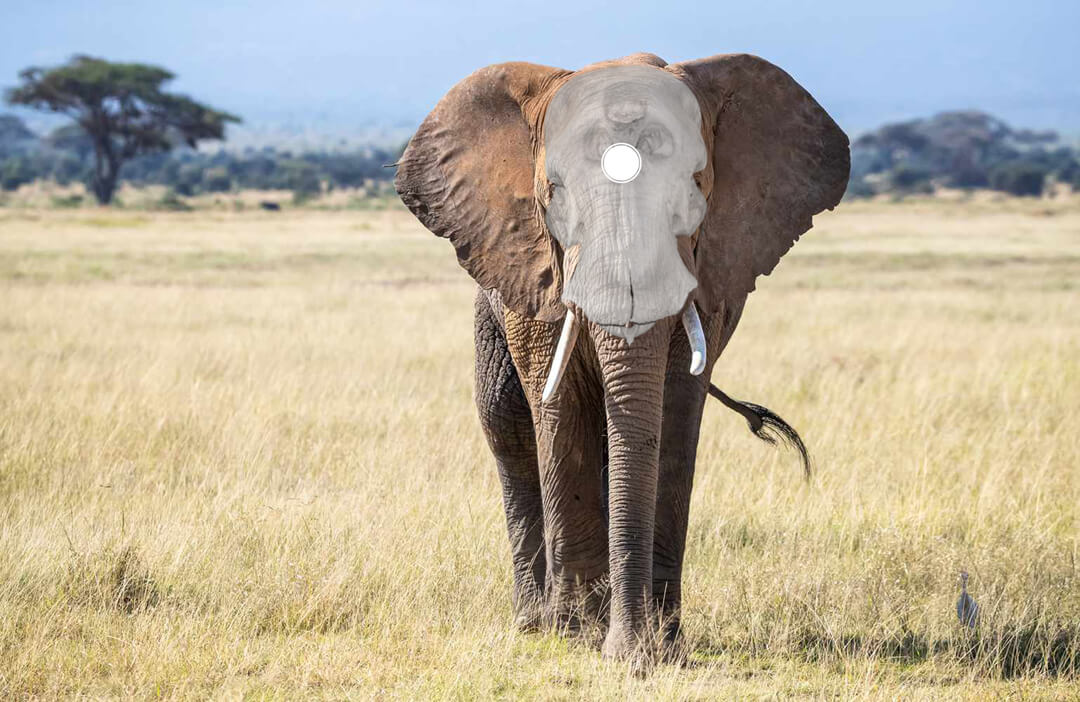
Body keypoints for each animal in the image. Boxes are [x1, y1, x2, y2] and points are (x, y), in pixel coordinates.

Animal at [394, 52, 849, 662]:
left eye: (693, 192)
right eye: (555, 195)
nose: (632, 655)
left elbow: (674, 413)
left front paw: (660, 644)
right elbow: (559, 407)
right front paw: (578, 637)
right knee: (506, 424)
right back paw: (536, 623)